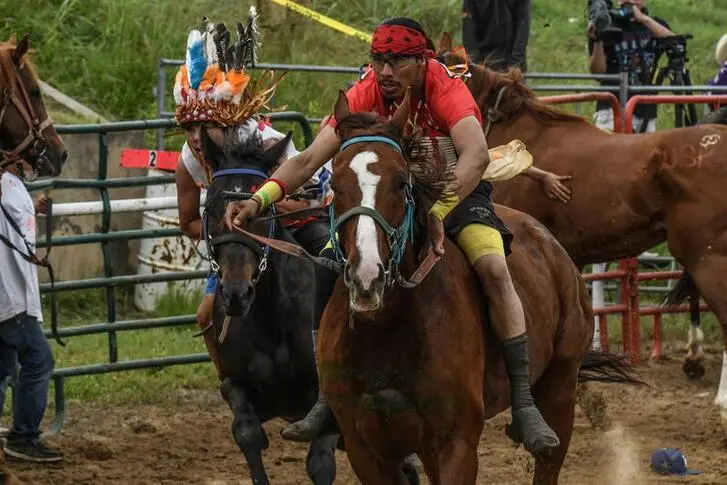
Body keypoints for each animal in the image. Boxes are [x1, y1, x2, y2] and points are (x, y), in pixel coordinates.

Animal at [200, 129, 339, 485]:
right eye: (210, 206)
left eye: (261, 212)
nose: (236, 293)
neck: (269, 319)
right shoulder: (236, 384)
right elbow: (246, 432)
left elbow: (320, 462)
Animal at [317, 89, 640, 484]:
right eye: (335, 185)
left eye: (400, 181)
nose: (367, 276)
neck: (387, 334)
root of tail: (552, 247)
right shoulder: (365, 450)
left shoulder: (455, 445)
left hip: (560, 390)